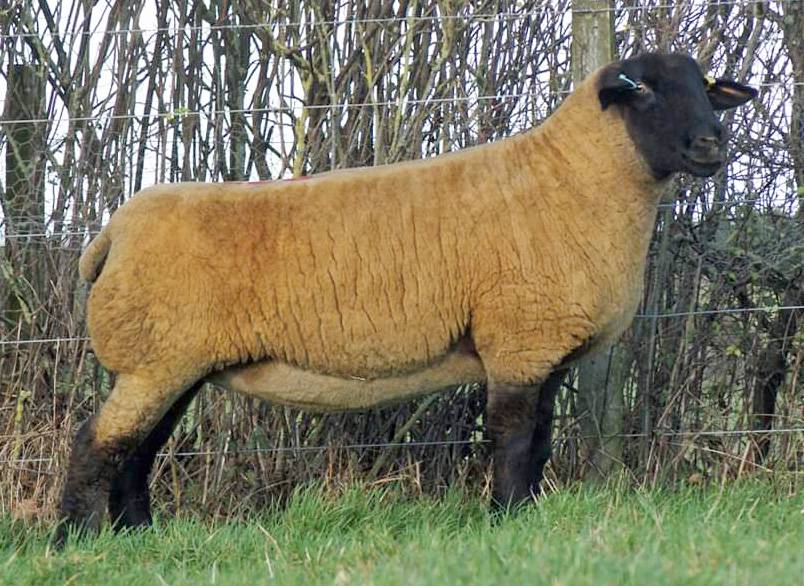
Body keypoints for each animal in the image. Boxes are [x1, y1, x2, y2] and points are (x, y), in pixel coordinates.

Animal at [55, 52, 756, 544]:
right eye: (643, 89)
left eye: (706, 86)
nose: (711, 144)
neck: (575, 179)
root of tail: (111, 234)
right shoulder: (518, 339)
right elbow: (512, 439)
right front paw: (504, 520)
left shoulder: (545, 351)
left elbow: (540, 440)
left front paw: (526, 517)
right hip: (155, 361)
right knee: (96, 441)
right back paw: (76, 544)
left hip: (174, 362)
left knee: (138, 450)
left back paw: (139, 537)